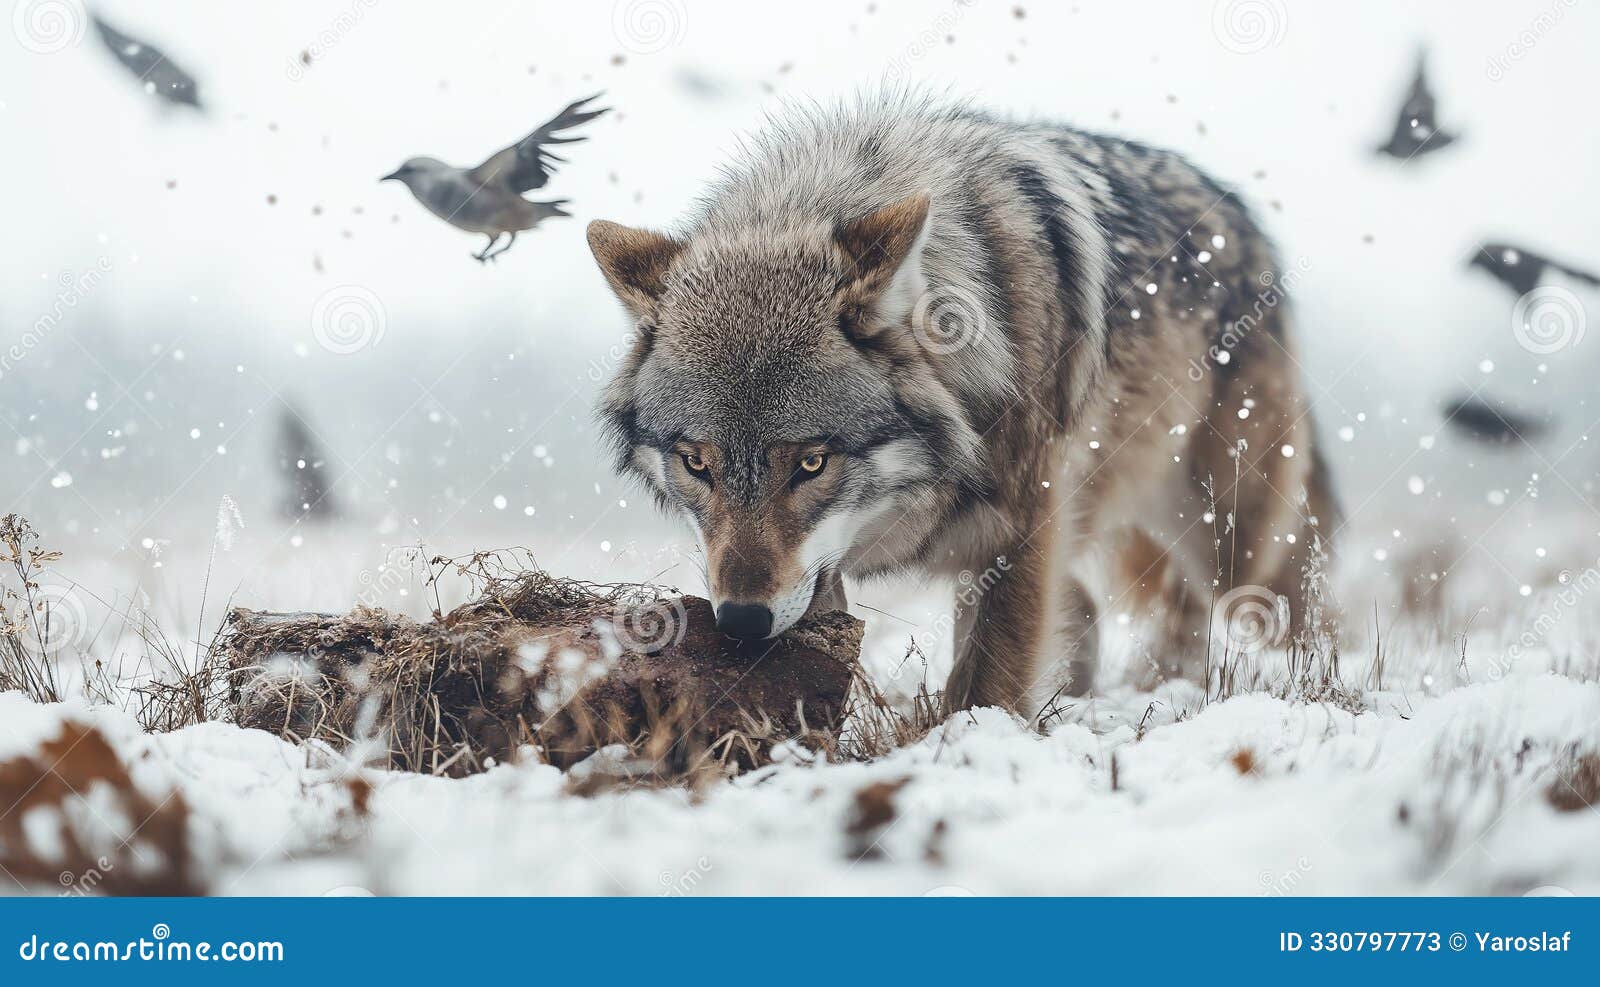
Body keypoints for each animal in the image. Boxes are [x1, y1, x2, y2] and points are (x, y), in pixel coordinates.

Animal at [587, 93, 1336, 716]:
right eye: (696, 462)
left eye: (811, 463)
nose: (741, 622)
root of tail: (1240, 214)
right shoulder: (826, 570)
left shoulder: (1024, 527)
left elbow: (987, 685)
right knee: (1091, 607)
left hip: (1225, 534)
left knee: (1255, 604)